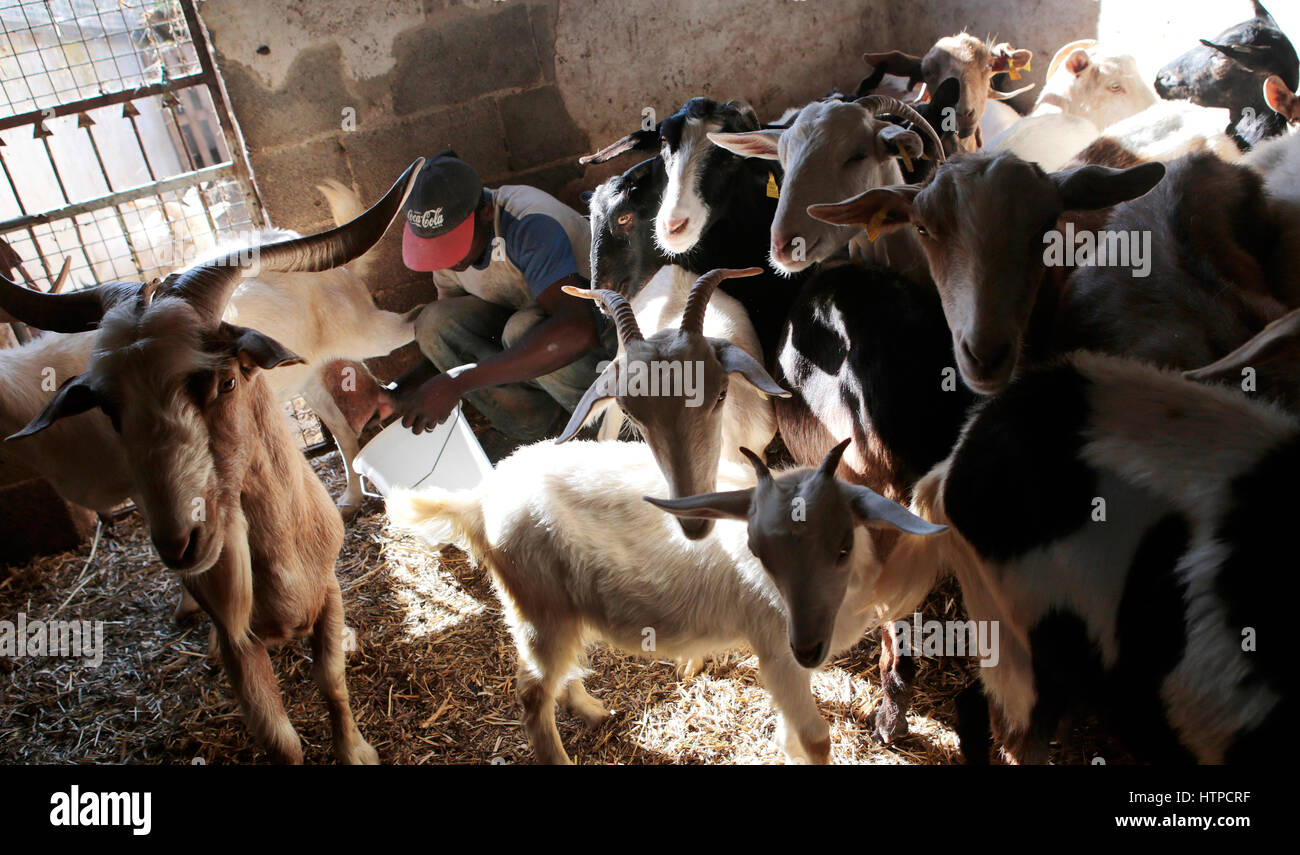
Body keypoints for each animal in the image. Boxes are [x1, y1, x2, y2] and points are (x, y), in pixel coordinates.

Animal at [0, 160, 426, 764]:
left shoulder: (327, 595)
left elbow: (331, 682)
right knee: (344, 426)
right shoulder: (237, 642)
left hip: (365, 331)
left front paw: (356, 750)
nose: (182, 543)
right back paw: (348, 498)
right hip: (308, 377)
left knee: (415, 318)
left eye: (225, 380)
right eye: (109, 405)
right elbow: (281, 739)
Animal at [386, 438, 943, 764]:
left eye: (843, 545)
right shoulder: (776, 647)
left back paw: (592, 710)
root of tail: (480, 499)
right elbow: (814, 737)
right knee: (530, 690)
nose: (809, 647)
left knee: (556, 676)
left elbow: (791, 732)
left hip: (559, 612)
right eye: (758, 552)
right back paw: (558, 753)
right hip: (538, 607)